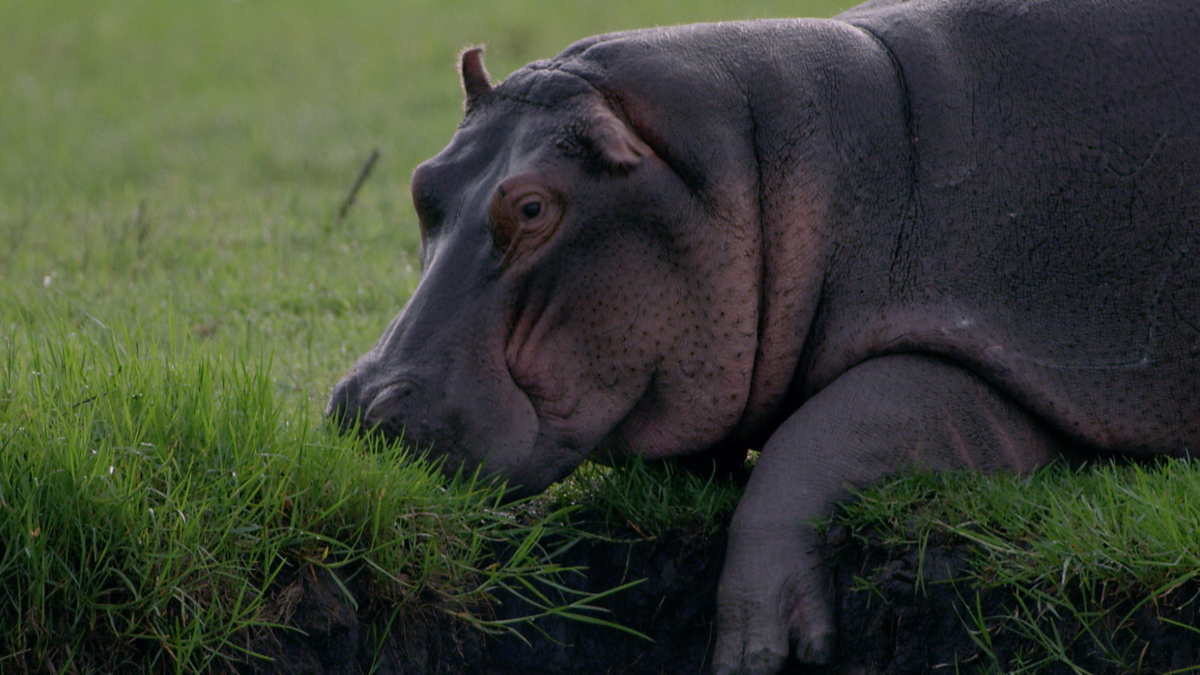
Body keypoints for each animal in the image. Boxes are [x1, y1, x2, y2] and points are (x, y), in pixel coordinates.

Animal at [328, 0, 1200, 671]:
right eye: (423, 184)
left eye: (534, 207)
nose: (363, 406)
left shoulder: (1013, 338)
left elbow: (828, 431)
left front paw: (761, 644)